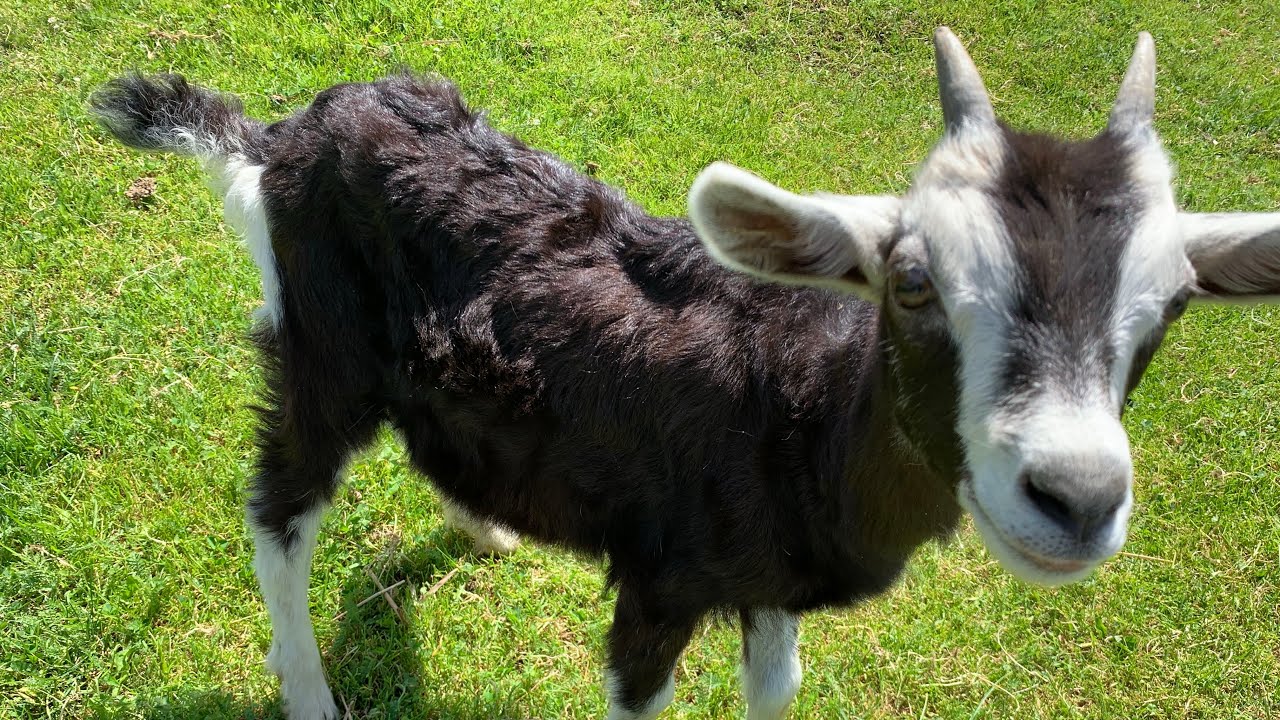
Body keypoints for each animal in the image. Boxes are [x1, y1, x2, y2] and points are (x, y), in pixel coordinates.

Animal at [90, 28, 1280, 720]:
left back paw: (485, 524)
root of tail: (280, 138)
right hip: (322, 349)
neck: (799, 406)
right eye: (910, 280)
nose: (1075, 495)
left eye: (1172, 304)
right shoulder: (659, 581)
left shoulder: (771, 578)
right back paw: (307, 693)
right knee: (278, 509)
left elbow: (779, 687)